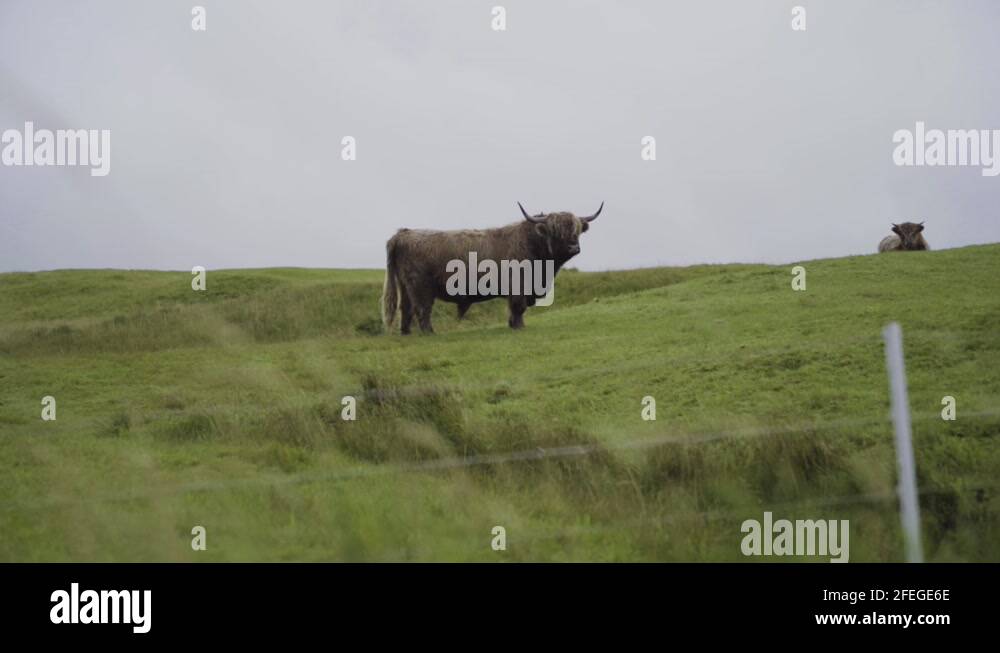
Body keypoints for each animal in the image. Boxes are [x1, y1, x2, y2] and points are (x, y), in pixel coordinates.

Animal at [381, 202, 603, 334]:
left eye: (576, 230)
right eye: (556, 231)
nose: (574, 247)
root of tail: (402, 234)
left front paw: (513, 324)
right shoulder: (519, 286)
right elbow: (518, 307)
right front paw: (518, 327)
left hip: (405, 286)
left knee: (406, 309)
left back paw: (406, 332)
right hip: (421, 287)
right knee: (422, 309)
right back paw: (429, 332)